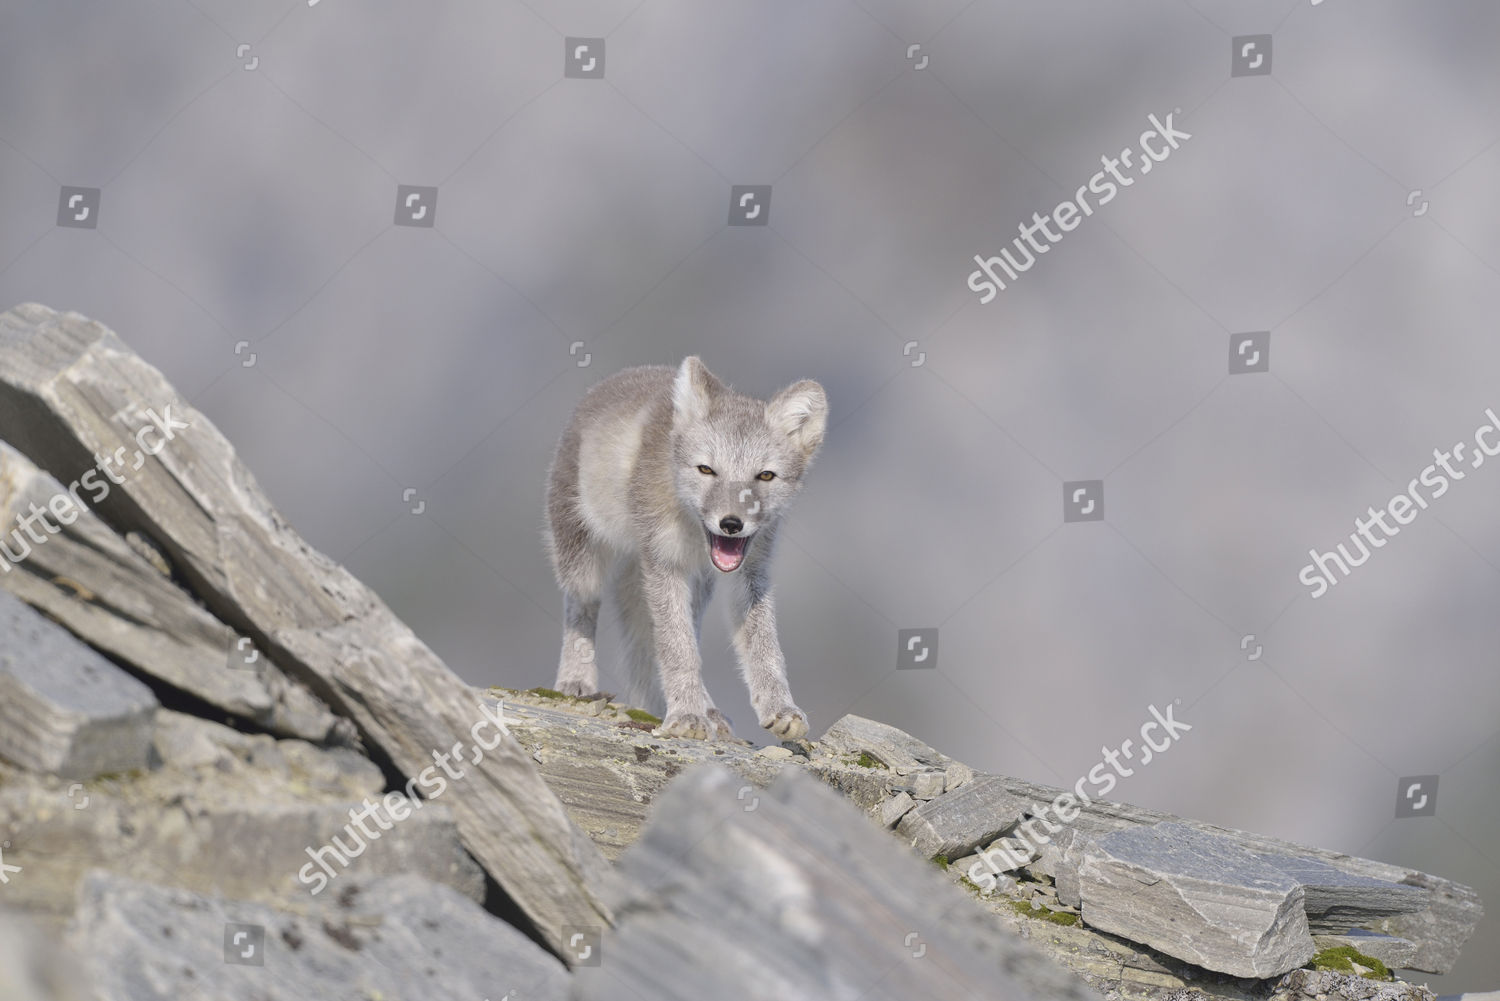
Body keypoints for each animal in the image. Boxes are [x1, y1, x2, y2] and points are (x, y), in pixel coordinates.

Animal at [544, 356, 827, 741]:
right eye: (706, 469)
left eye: (765, 476)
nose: (731, 523)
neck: (693, 532)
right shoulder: (663, 563)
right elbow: (677, 649)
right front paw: (687, 716)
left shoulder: (751, 573)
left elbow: (763, 647)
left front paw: (780, 708)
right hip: (582, 558)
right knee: (582, 606)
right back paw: (576, 680)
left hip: (698, 587)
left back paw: (707, 709)